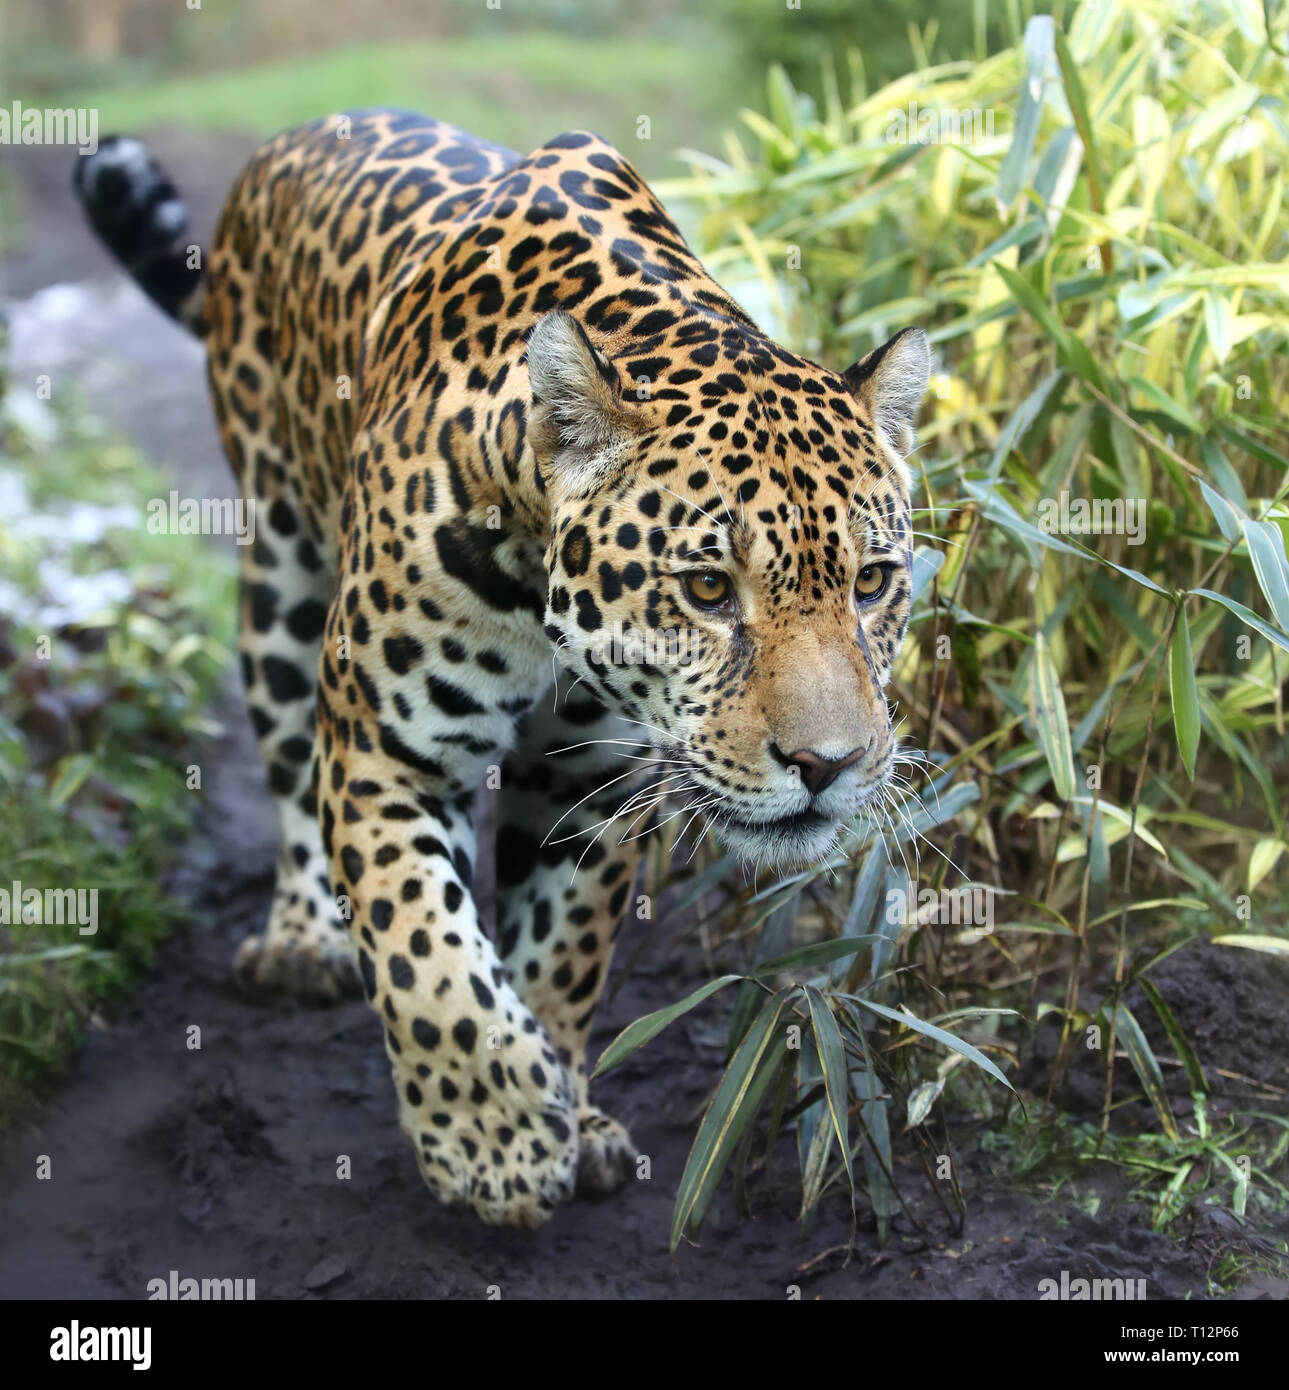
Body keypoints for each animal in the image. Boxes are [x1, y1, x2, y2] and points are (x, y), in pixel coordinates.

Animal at [74, 109, 928, 1228]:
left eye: (871, 582)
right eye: (705, 588)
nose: (829, 765)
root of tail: (297, 137)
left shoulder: (589, 777)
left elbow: (559, 955)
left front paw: (569, 1112)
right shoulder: (385, 748)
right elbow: (424, 947)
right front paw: (497, 1141)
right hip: (280, 576)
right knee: (289, 766)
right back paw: (301, 938)